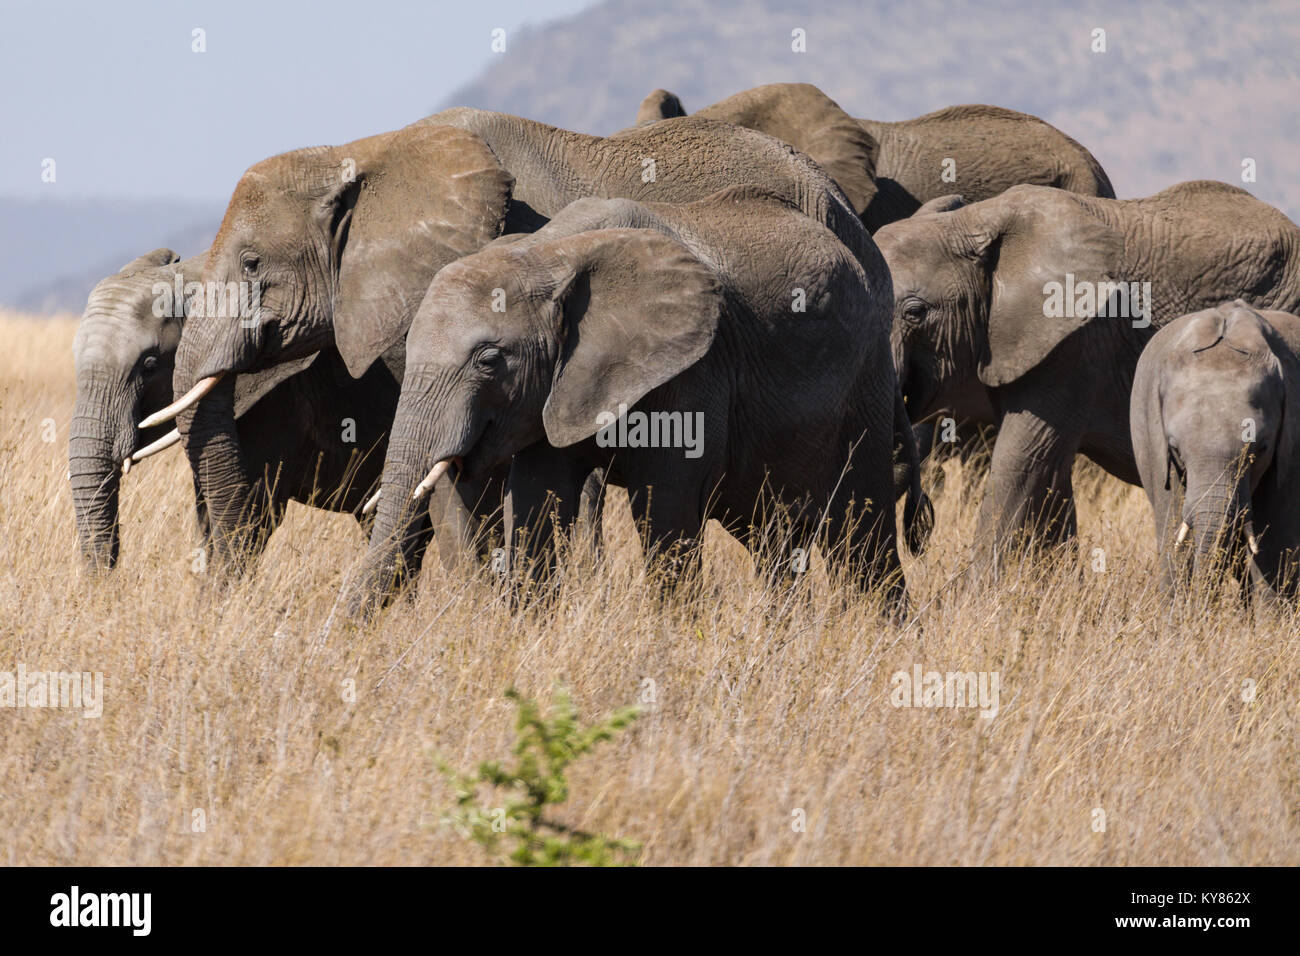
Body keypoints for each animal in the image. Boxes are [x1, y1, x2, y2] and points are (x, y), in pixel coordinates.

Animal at [347, 185, 927, 616]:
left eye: (490, 360)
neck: (548, 256)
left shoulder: (695, 365)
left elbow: (663, 505)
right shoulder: (558, 386)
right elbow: (538, 500)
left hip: (865, 384)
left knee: (862, 534)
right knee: (773, 537)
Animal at [874, 180, 1300, 563]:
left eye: (915, 312)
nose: (918, 532)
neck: (973, 220)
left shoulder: (1074, 345)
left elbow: (1021, 465)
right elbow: (1051, 478)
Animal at [1131, 301, 1300, 600]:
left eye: (1262, 449)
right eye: (1175, 449)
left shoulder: (1290, 450)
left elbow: (1274, 550)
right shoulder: (1155, 448)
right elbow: (1175, 539)